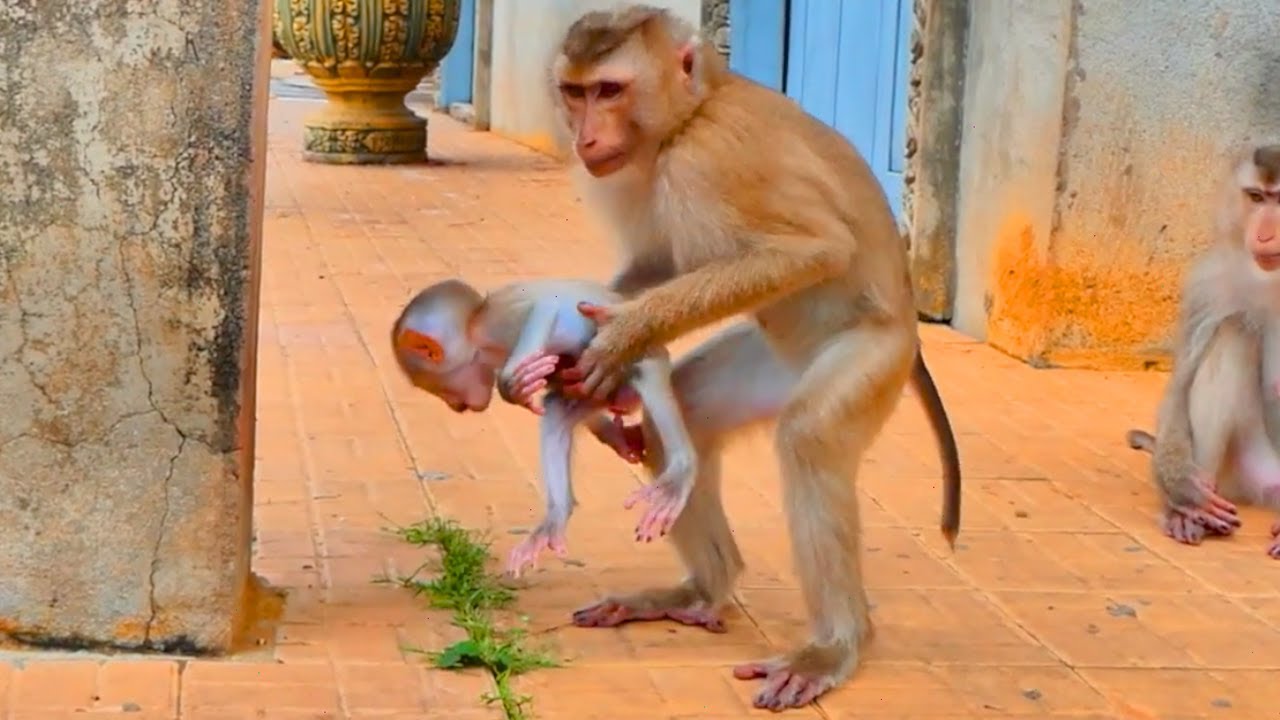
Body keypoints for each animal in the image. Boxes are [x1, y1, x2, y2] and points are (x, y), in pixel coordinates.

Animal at [389, 277, 701, 577]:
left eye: (437, 388)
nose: (457, 406)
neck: (477, 334)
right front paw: (614, 436)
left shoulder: (500, 326)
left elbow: (547, 306)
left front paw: (511, 385)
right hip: (596, 392)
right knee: (557, 410)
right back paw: (556, 516)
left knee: (642, 367)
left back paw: (680, 471)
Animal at [517, 5, 965, 710]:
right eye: (575, 91)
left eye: (610, 90)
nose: (585, 136)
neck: (698, 107)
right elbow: (664, 261)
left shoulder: (703, 162)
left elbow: (811, 251)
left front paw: (622, 336)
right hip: (775, 365)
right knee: (691, 412)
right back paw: (702, 590)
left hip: (873, 358)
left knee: (810, 437)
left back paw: (834, 647)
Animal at [1125, 143, 1280, 557]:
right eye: (1257, 198)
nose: (1264, 235)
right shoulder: (1209, 282)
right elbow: (1181, 384)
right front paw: (1181, 488)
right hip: (1245, 469)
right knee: (1232, 333)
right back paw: (1191, 516)